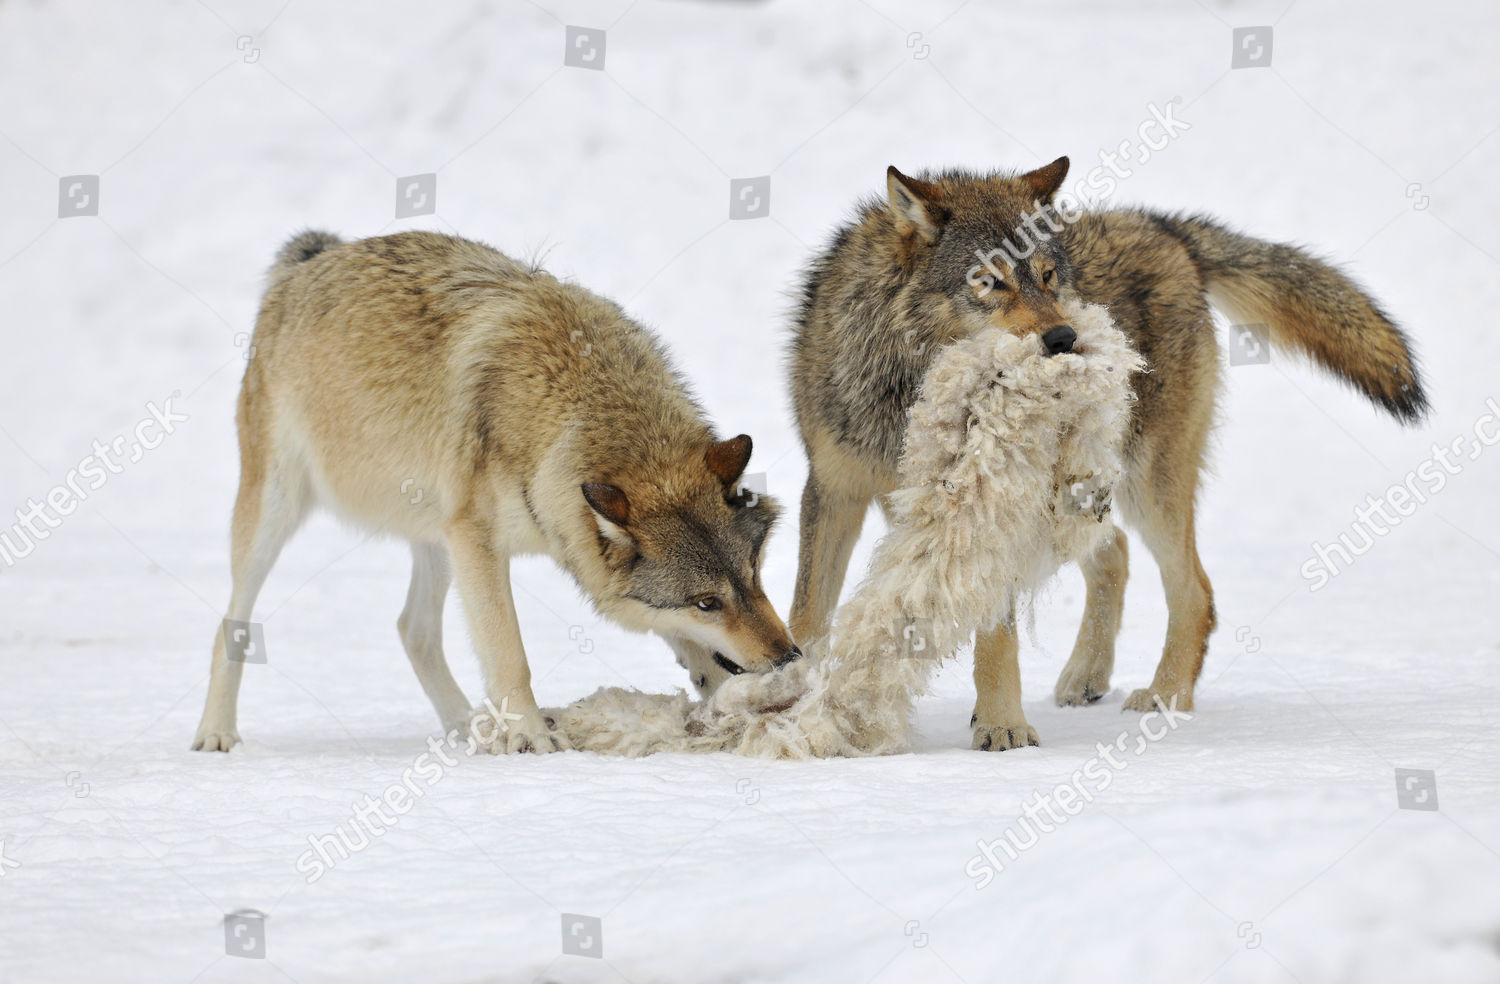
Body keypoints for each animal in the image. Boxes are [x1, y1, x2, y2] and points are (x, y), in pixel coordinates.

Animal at [192, 230, 799, 753]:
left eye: (755, 575)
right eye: (707, 602)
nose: (790, 657)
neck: (573, 403)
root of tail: (312, 257)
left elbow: (694, 648)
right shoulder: (479, 544)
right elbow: (510, 656)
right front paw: (529, 737)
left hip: (436, 537)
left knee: (413, 630)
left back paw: (467, 729)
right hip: (277, 514)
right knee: (231, 626)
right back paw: (216, 733)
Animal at [788, 158, 1426, 750]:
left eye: (1048, 276)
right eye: (989, 281)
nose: (1065, 338)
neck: (908, 388)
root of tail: (1167, 228)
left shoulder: (988, 504)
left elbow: (998, 637)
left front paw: (1001, 726)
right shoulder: (833, 492)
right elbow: (806, 615)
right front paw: (788, 705)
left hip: (1148, 484)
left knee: (1194, 590)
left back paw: (1165, 696)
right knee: (1115, 548)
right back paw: (1088, 676)